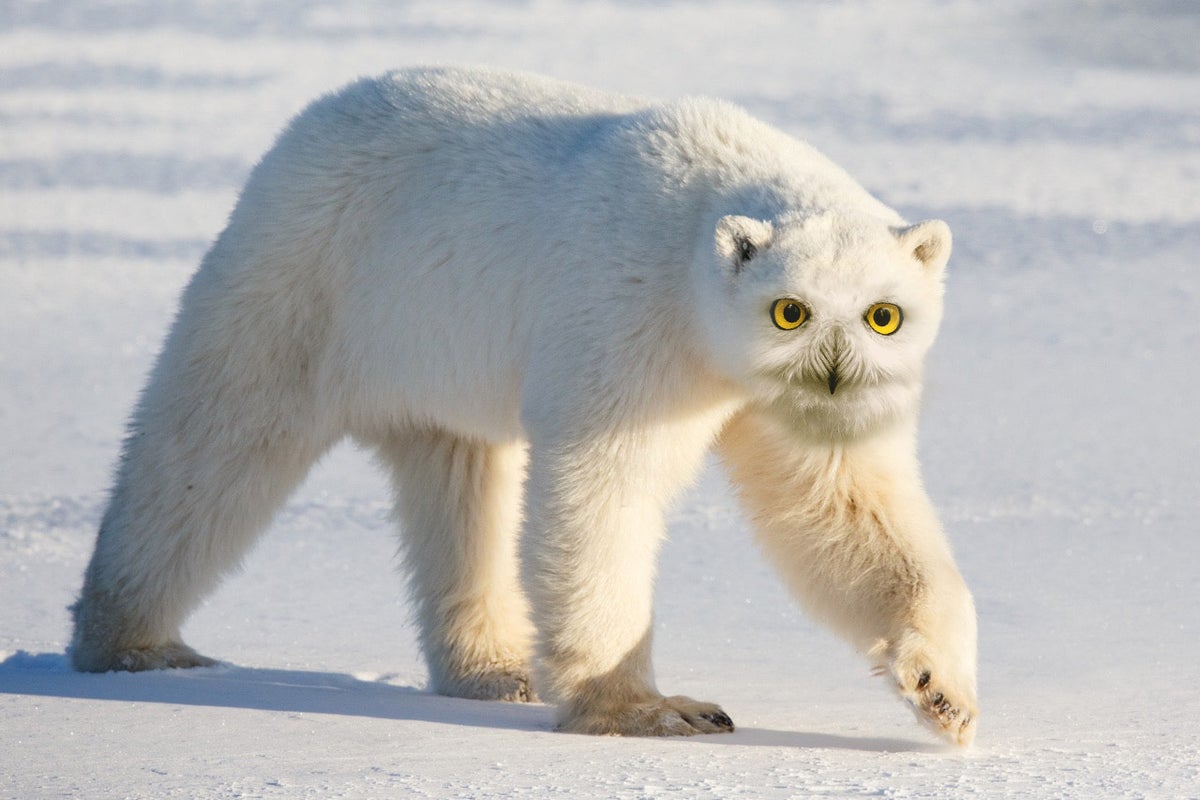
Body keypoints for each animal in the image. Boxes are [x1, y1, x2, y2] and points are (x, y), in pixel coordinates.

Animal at [70, 66, 978, 746]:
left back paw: (495, 669)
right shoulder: (630, 314)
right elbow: (603, 490)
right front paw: (655, 709)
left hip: (434, 361)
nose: (834, 380)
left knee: (462, 486)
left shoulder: (772, 397)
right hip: (308, 275)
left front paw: (943, 693)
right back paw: (133, 642)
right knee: (214, 441)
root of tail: (310, 119)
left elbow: (847, 510)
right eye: (790, 310)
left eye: (884, 314)